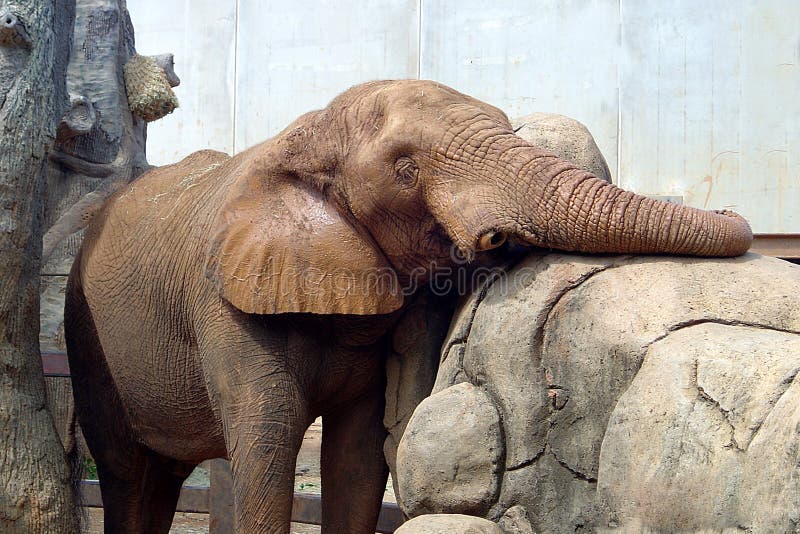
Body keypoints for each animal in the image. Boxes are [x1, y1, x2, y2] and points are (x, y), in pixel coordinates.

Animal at [64, 79, 752, 533]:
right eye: (404, 170)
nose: (729, 209)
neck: (303, 132)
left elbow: (359, 452)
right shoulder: (228, 304)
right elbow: (269, 440)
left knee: (158, 478)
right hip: (85, 335)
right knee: (127, 472)